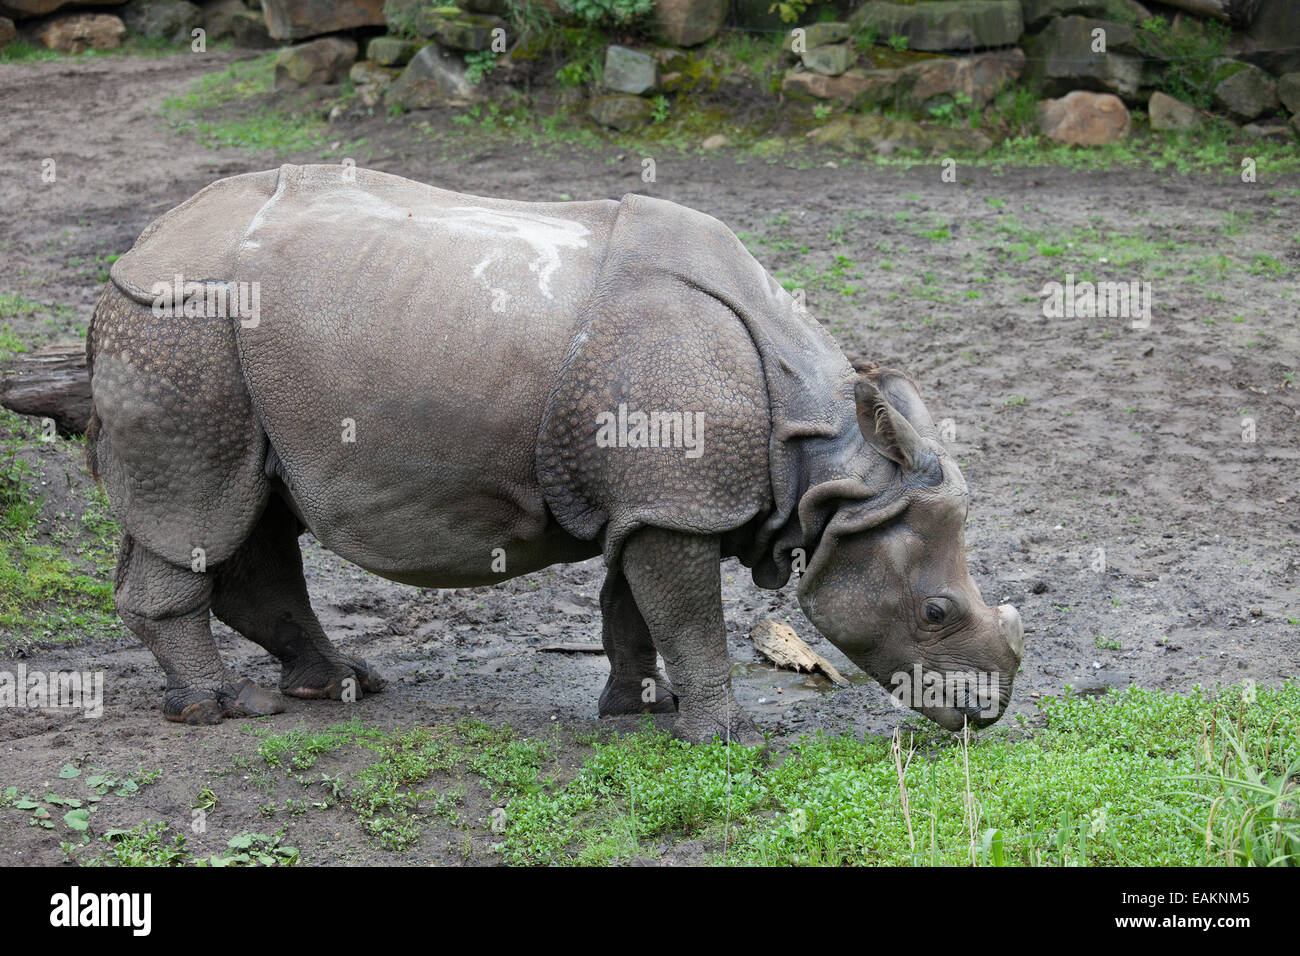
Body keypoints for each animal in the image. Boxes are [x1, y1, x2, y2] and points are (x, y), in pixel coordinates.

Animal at [85, 164, 1023, 743]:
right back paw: (221, 710)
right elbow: (688, 613)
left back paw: (339, 686)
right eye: (935, 614)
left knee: (254, 512)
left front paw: (643, 708)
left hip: (220, 347)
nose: (986, 714)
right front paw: (726, 737)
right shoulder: (673, 502)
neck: (827, 464)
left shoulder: (647, 500)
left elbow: (634, 604)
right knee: (200, 512)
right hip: (182, 330)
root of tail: (135, 250)